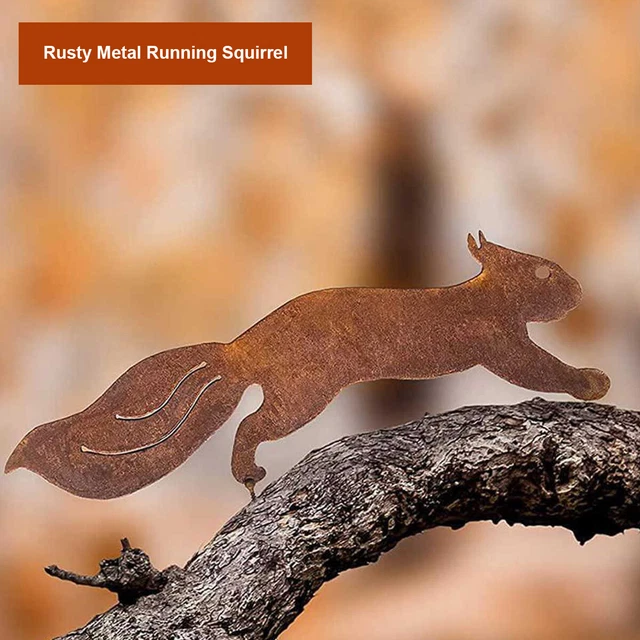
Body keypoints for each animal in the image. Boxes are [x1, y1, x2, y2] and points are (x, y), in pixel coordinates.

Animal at [5, 232, 610, 499]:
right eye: (543, 272)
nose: (579, 290)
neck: (483, 294)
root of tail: (241, 346)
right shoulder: (502, 344)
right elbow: (543, 369)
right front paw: (593, 381)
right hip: (303, 394)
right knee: (251, 426)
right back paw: (250, 475)